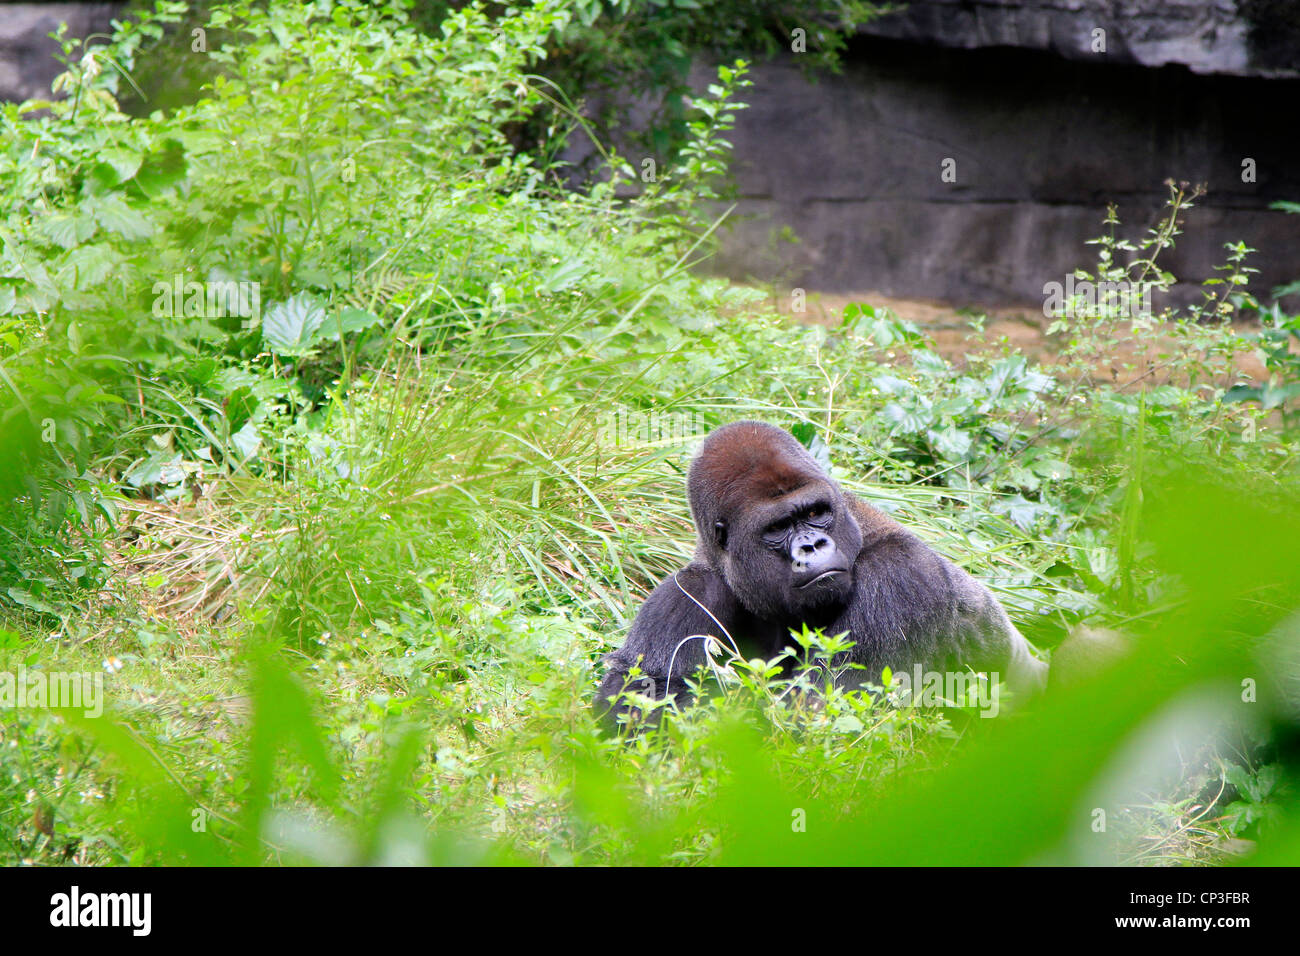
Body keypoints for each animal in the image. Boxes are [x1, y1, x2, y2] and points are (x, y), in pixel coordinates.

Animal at [595, 420, 1049, 726]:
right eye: (778, 527)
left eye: (815, 513)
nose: (812, 546)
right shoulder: (687, 590)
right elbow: (637, 704)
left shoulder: (899, 571)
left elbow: (824, 710)